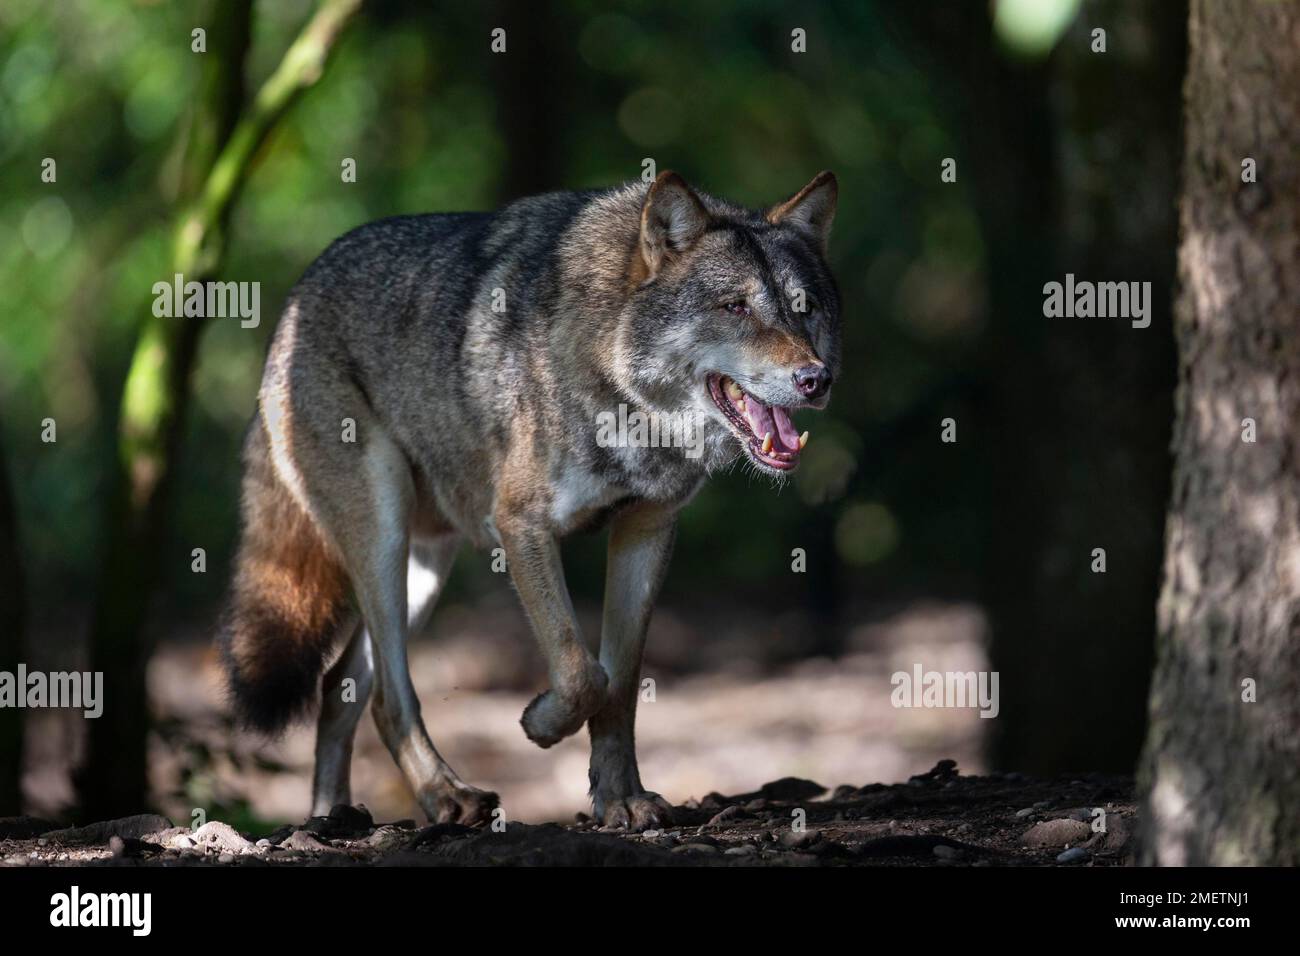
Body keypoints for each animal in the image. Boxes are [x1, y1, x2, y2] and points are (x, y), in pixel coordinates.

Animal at [219, 170, 841, 830]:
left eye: (804, 307)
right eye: (735, 307)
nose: (816, 380)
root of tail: (293, 303)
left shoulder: (647, 530)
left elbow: (620, 686)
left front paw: (621, 799)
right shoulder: (521, 526)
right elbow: (584, 673)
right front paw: (541, 724)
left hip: (424, 571)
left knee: (341, 686)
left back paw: (331, 818)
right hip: (383, 538)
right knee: (388, 695)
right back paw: (447, 796)